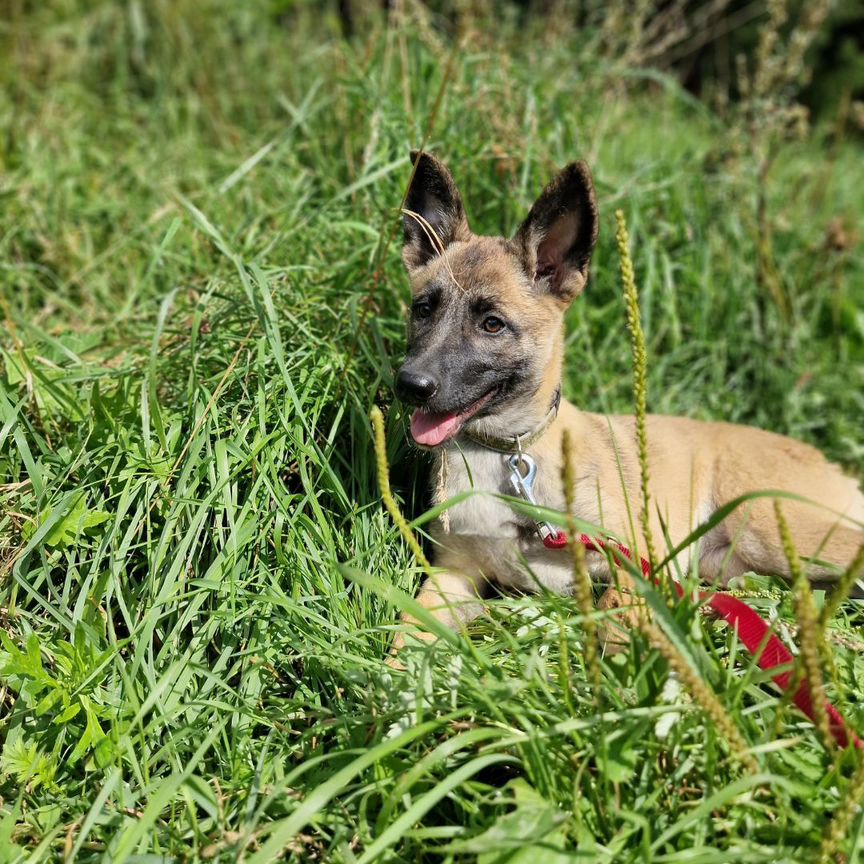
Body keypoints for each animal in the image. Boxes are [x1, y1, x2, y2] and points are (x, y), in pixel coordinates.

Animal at [392, 152, 864, 648]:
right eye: (423, 309)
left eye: (492, 324)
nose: (410, 384)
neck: (507, 458)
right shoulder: (452, 576)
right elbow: (406, 636)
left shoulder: (637, 561)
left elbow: (613, 617)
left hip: (772, 529)